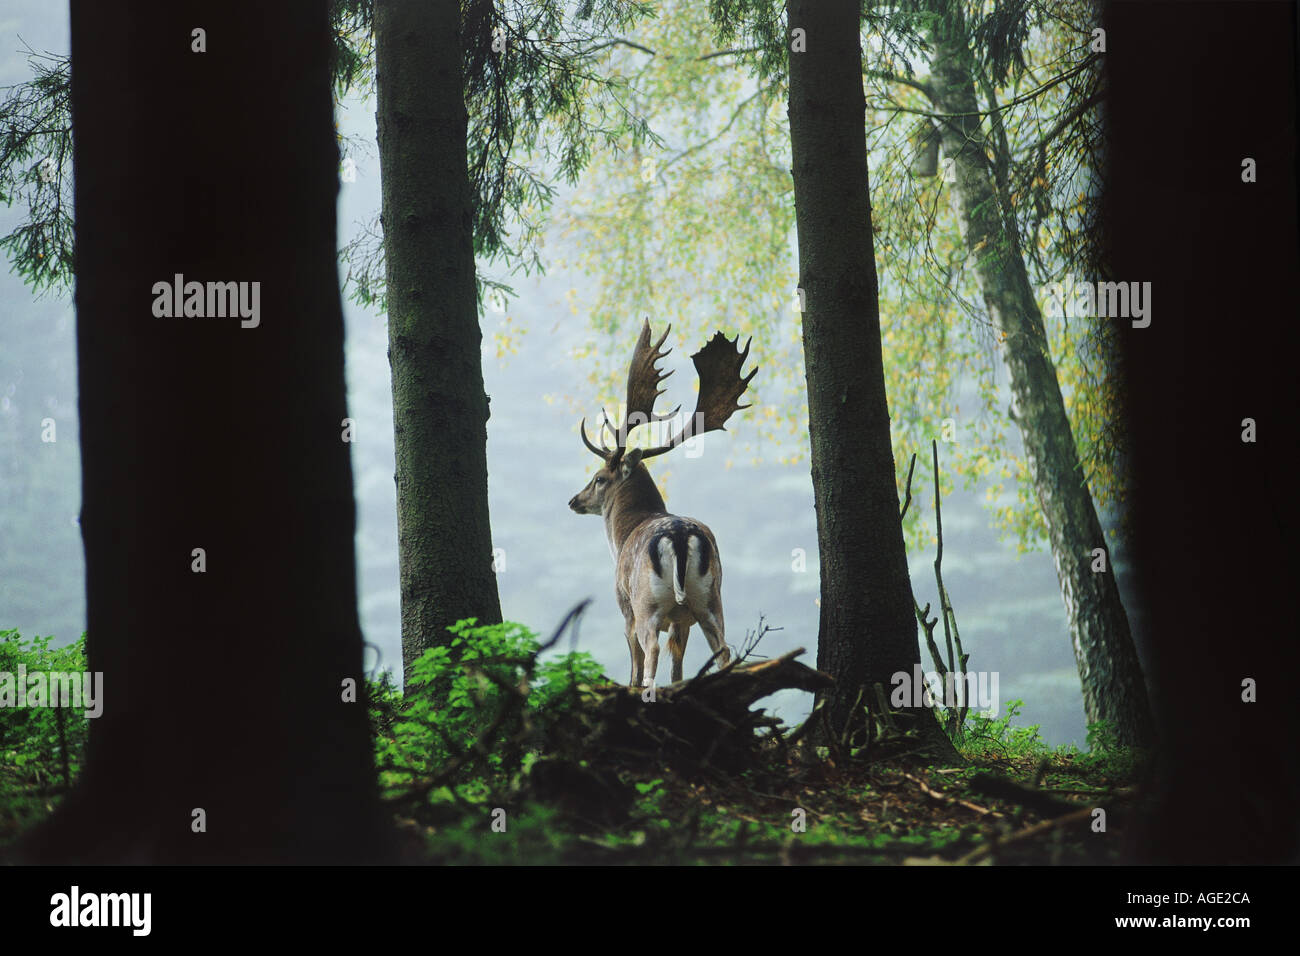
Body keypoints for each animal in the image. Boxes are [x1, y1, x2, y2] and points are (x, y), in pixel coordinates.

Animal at [568, 319, 757, 689]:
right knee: (724, 650)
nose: (574, 500)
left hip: (648, 605)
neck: (624, 534)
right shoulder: (681, 621)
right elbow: (678, 669)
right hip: (711, 600)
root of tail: (681, 538)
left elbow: (635, 667)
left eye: (599, 478)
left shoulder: (625, 607)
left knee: (651, 654)